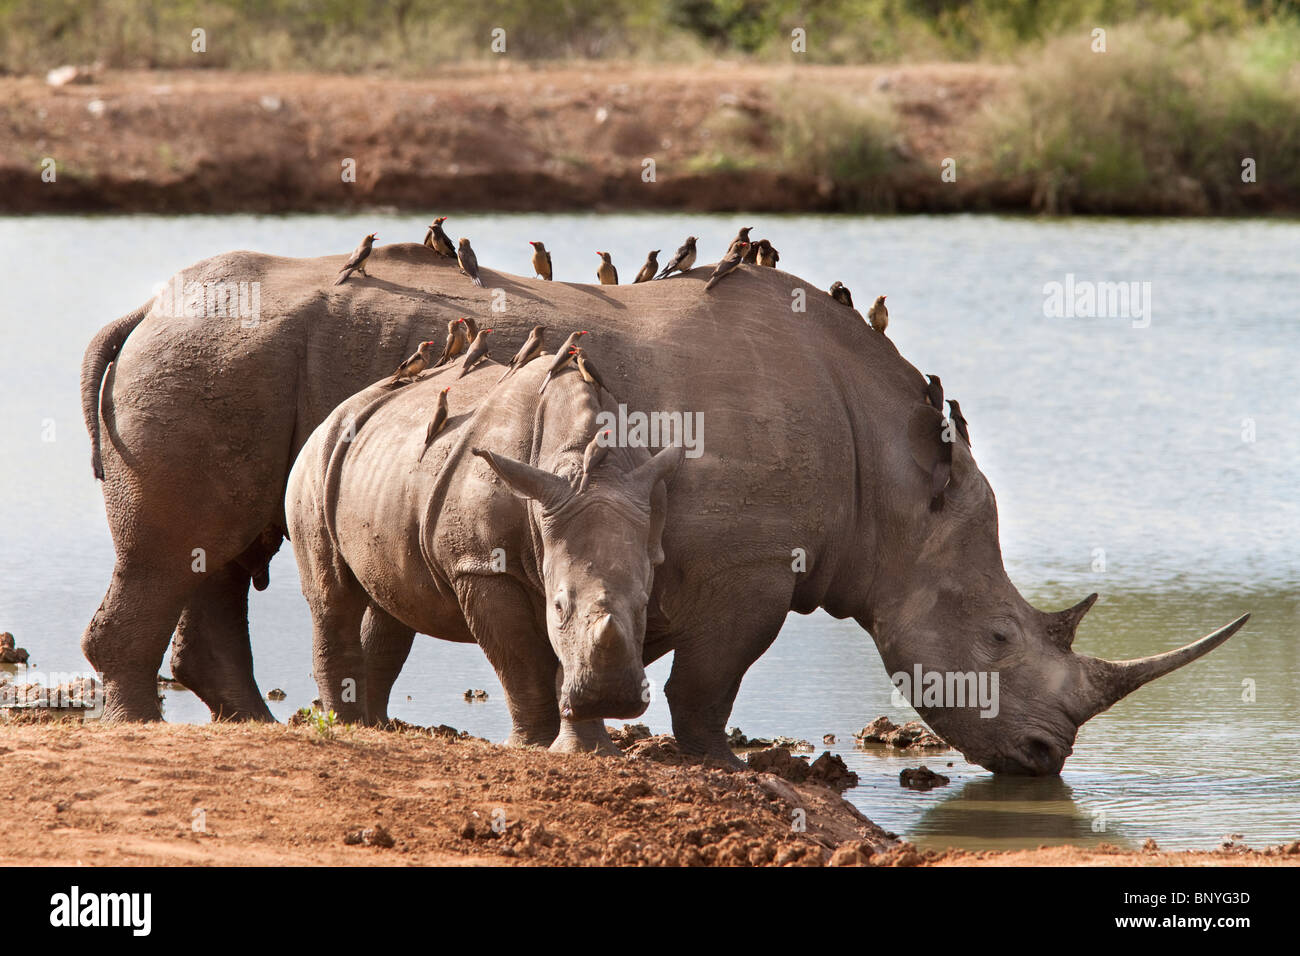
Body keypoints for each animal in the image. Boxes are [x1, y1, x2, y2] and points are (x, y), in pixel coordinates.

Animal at [285, 355, 683, 750]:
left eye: (643, 604)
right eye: (558, 606)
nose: (610, 698)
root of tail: (339, 410)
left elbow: (563, 656)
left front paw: (586, 749)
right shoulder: (481, 566)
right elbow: (520, 659)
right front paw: (533, 745)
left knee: (393, 600)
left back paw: (375, 727)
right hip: (317, 459)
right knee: (333, 597)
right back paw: (345, 726)